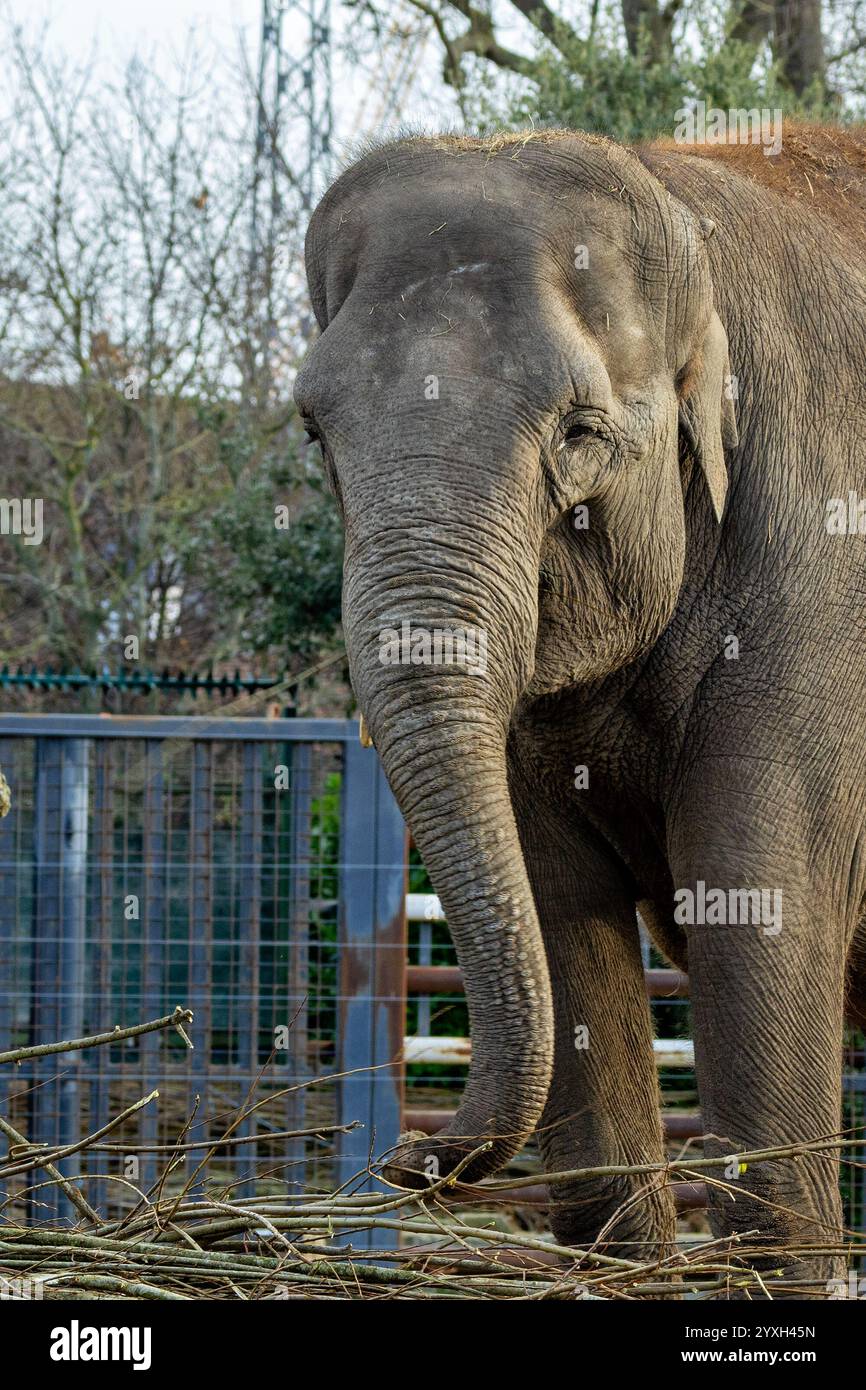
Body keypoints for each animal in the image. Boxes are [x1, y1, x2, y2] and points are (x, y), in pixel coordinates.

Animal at [295, 125, 866, 1289]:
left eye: (581, 433)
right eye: (313, 433)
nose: (406, 1164)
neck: (681, 200)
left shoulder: (826, 576)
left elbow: (758, 901)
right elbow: (557, 901)